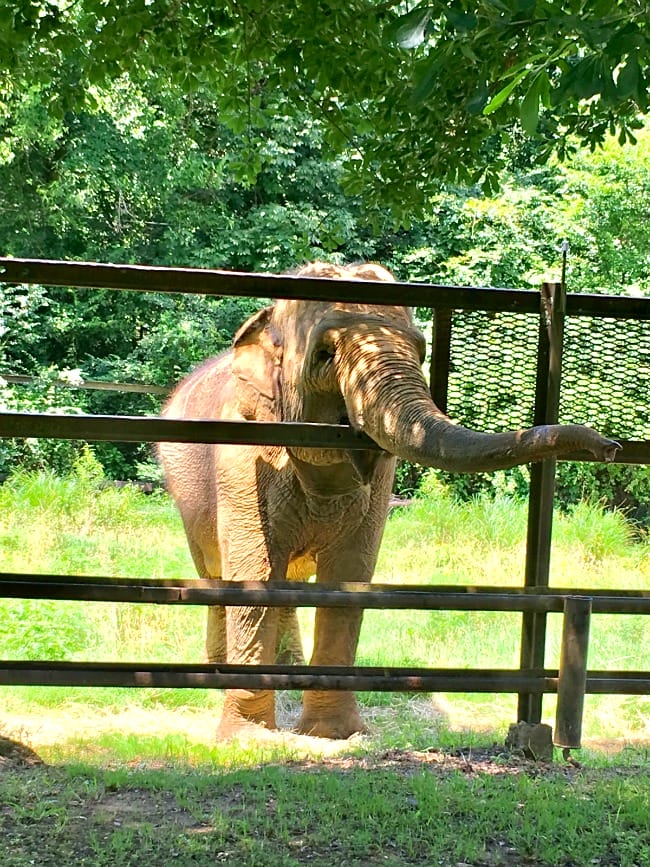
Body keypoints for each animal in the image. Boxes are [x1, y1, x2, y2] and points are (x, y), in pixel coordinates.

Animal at [158, 261, 619, 740]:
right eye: (324, 355)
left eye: (419, 351)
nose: (610, 448)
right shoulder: (242, 459)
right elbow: (256, 573)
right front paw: (250, 738)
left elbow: (348, 575)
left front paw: (334, 734)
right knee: (216, 570)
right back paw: (218, 675)